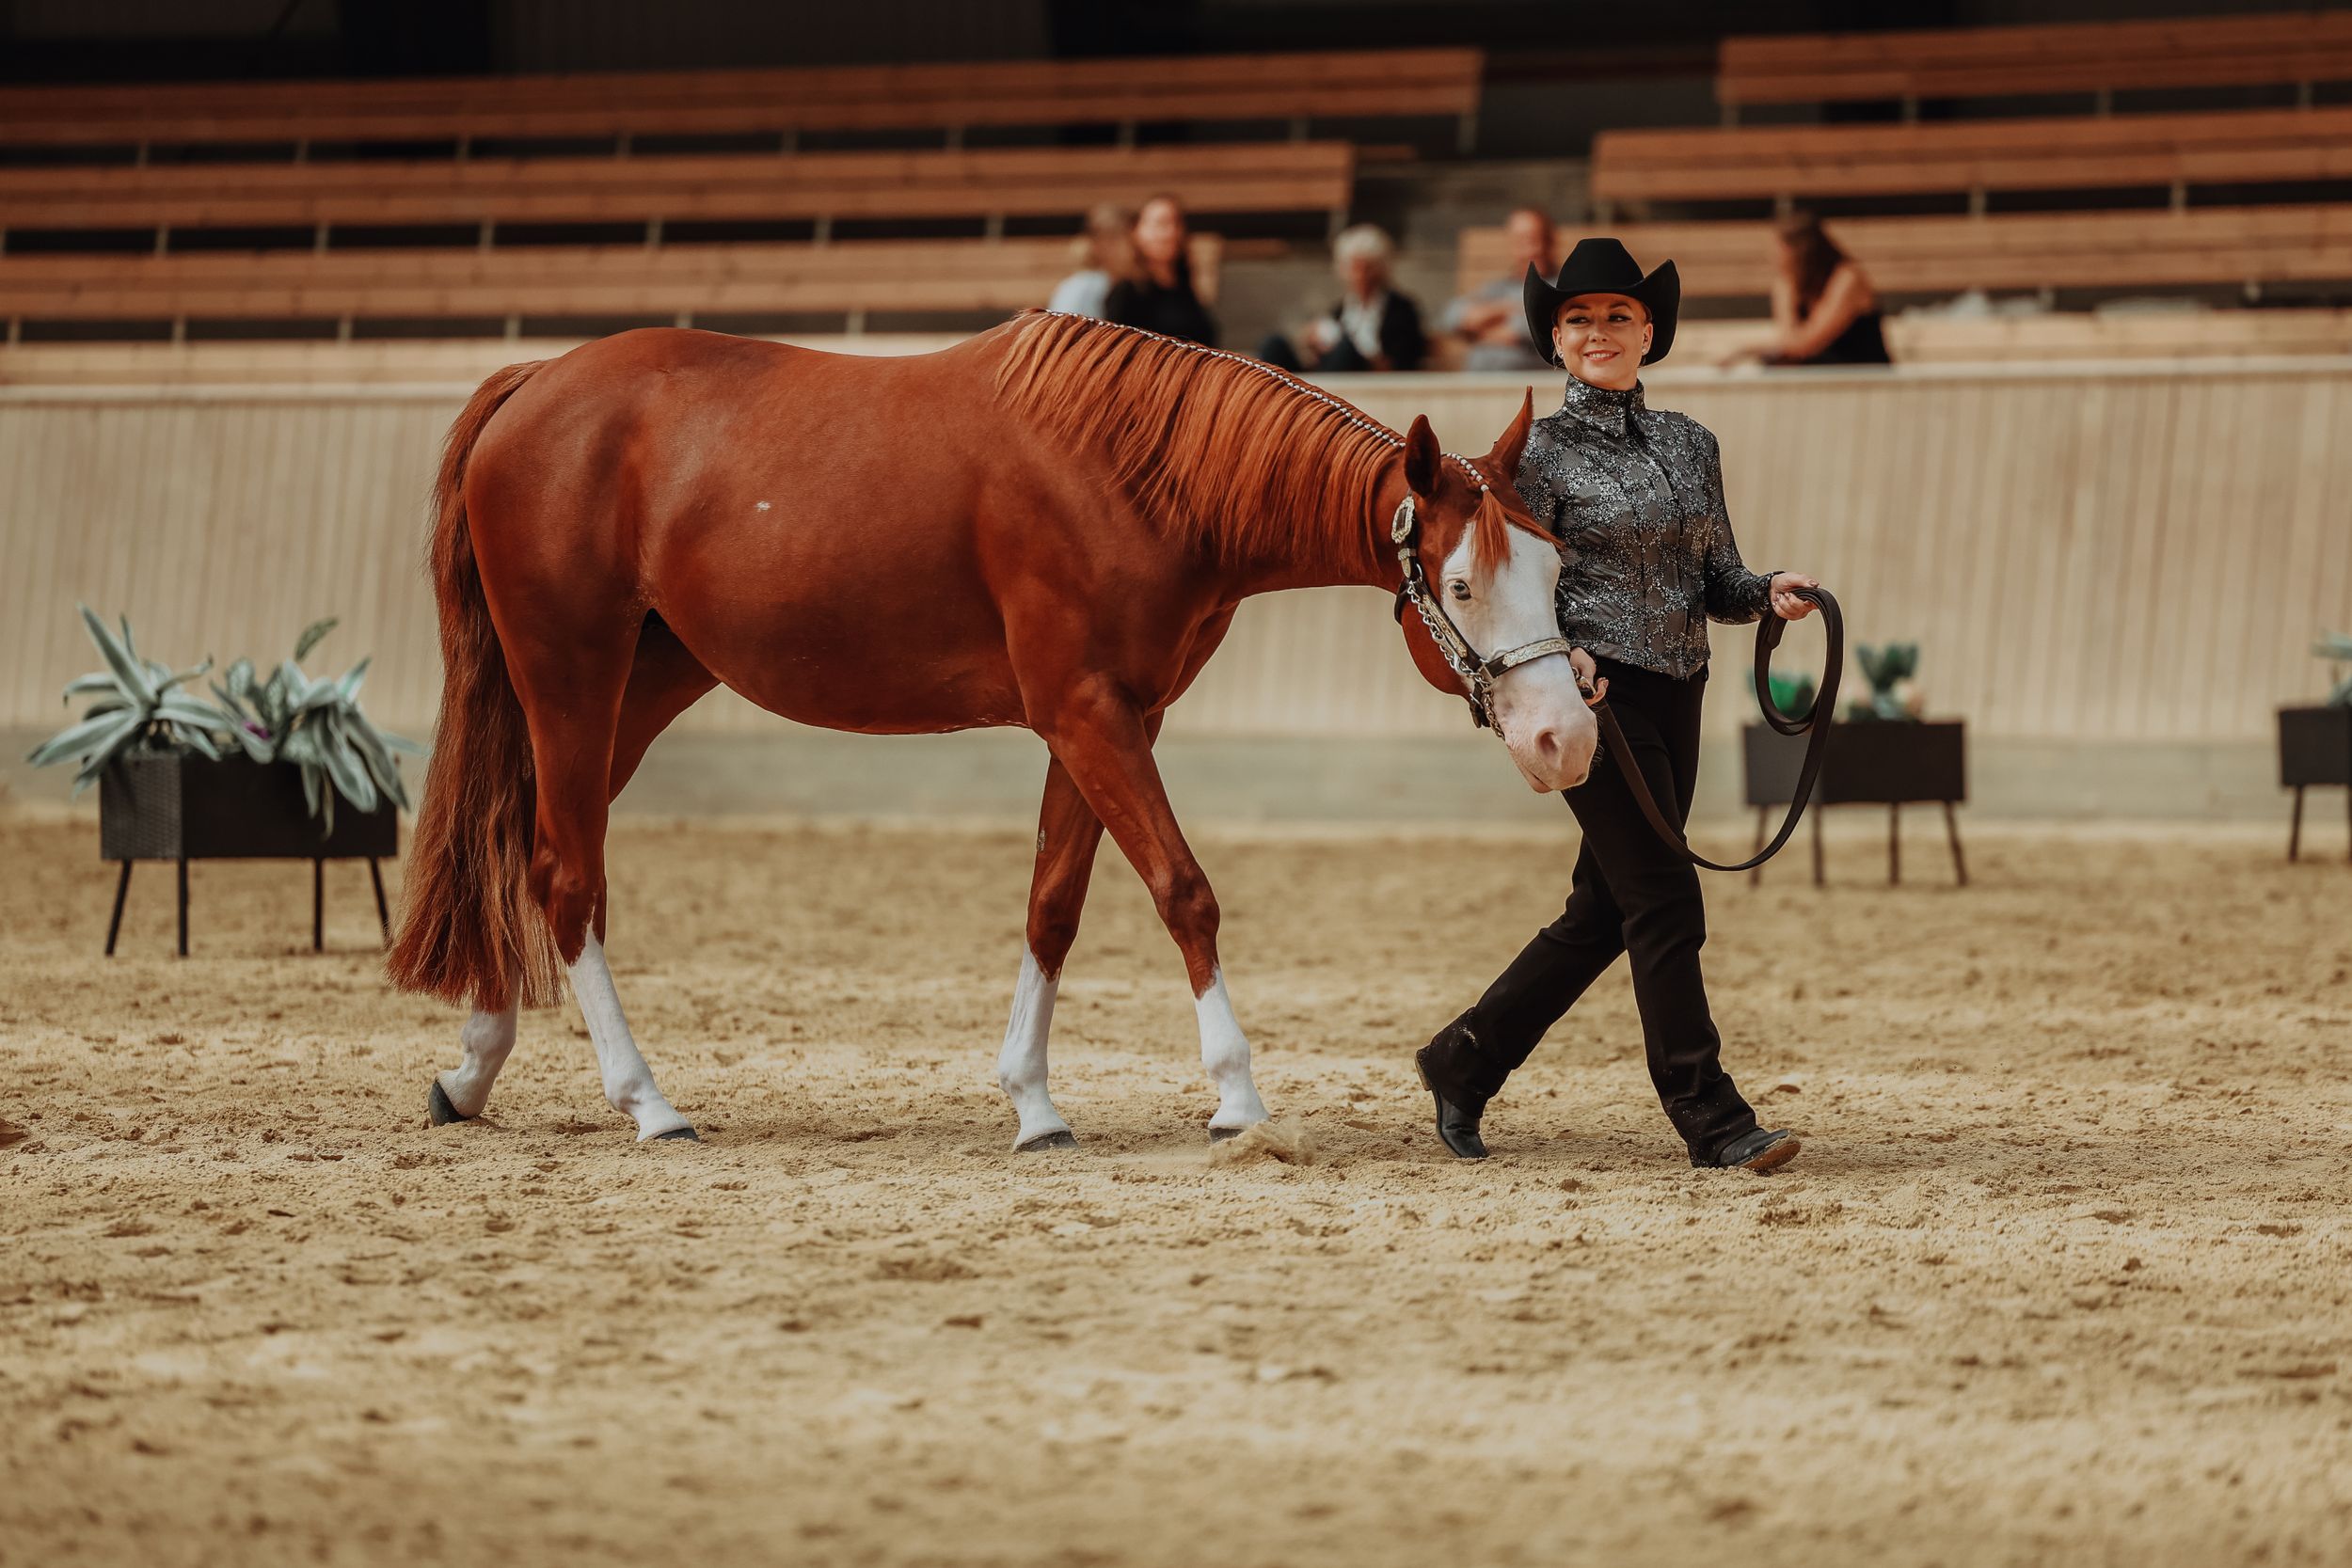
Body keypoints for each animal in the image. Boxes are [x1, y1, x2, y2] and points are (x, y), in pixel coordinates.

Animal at [385, 310, 1598, 1149]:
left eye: (1554, 567)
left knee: (526, 846)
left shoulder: (1106, 718)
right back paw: (646, 1101)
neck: (1131, 474)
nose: (1567, 741)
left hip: (642, 684)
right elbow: (1183, 890)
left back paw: (473, 1071)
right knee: (569, 876)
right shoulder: (1087, 711)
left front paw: (1034, 1105)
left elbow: (1052, 906)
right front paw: (1237, 1093)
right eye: (1460, 582)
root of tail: (535, 383)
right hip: (571, 677)